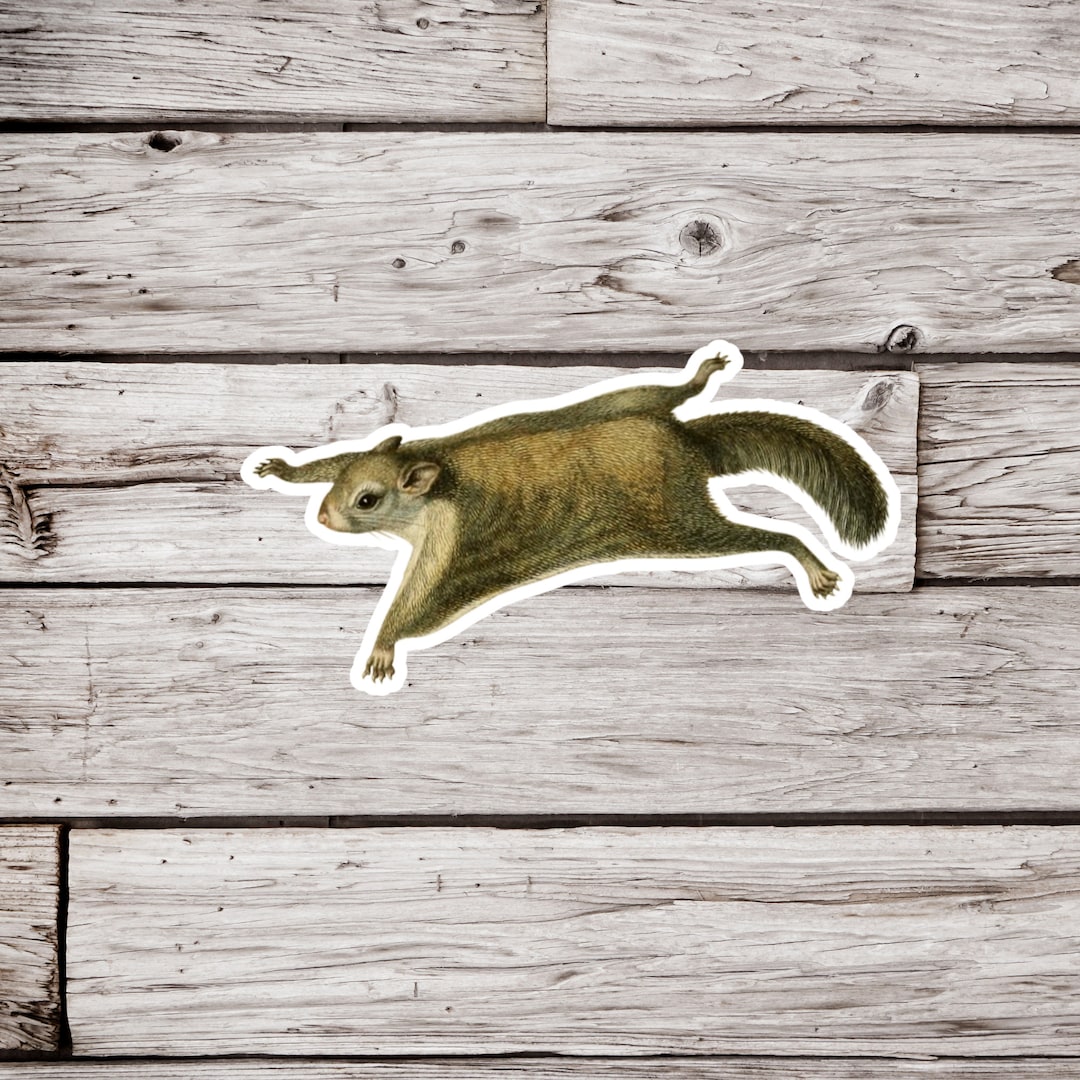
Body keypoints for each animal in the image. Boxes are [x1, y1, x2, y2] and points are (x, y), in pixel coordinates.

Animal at [242, 340, 899, 695]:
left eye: (367, 501)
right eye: (345, 490)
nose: (325, 518)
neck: (435, 473)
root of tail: (688, 448)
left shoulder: (454, 533)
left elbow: (424, 594)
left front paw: (382, 646)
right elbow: (326, 460)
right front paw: (280, 469)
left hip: (674, 518)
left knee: (768, 534)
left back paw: (812, 565)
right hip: (625, 407)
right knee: (663, 393)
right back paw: (701, 376)